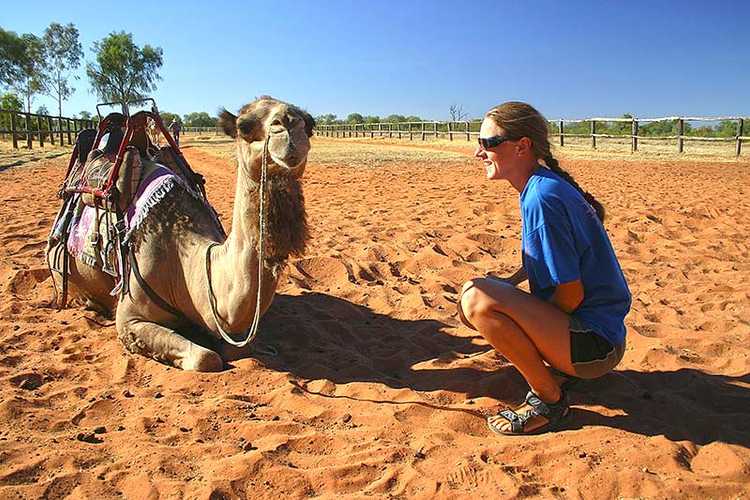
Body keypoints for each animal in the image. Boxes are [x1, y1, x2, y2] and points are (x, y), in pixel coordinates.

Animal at [47, 97, 314, 371]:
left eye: (310, 124)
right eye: (244, 126)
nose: (289, 124)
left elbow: (237, 349)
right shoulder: (129, 318)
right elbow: (206, 358)